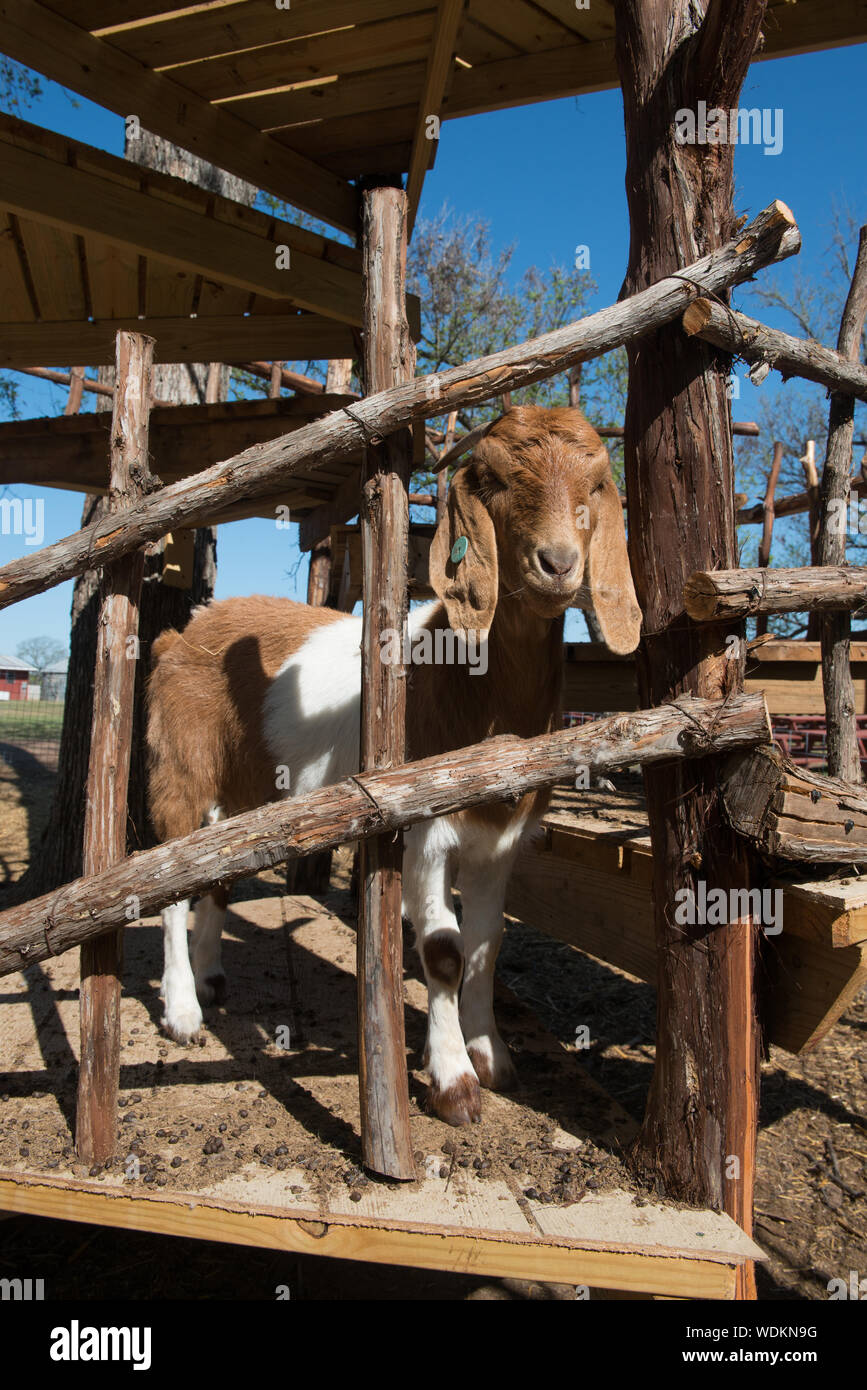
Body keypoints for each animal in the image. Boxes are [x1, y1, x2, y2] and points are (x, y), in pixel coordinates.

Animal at [147, 406, 642, 1125]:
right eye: (493, 479)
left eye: (597, 483)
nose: (557, 564)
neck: (457, 682)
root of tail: (183, 629)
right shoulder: (424, 830)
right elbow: (443, 951)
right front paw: (454, 1083)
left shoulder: (500, 841)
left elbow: (487, 946)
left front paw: (489, 1054)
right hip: (181, 769)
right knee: (168, 880)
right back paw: (182, 1009)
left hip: (249, 789)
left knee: (216, 873)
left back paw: (212, 977)